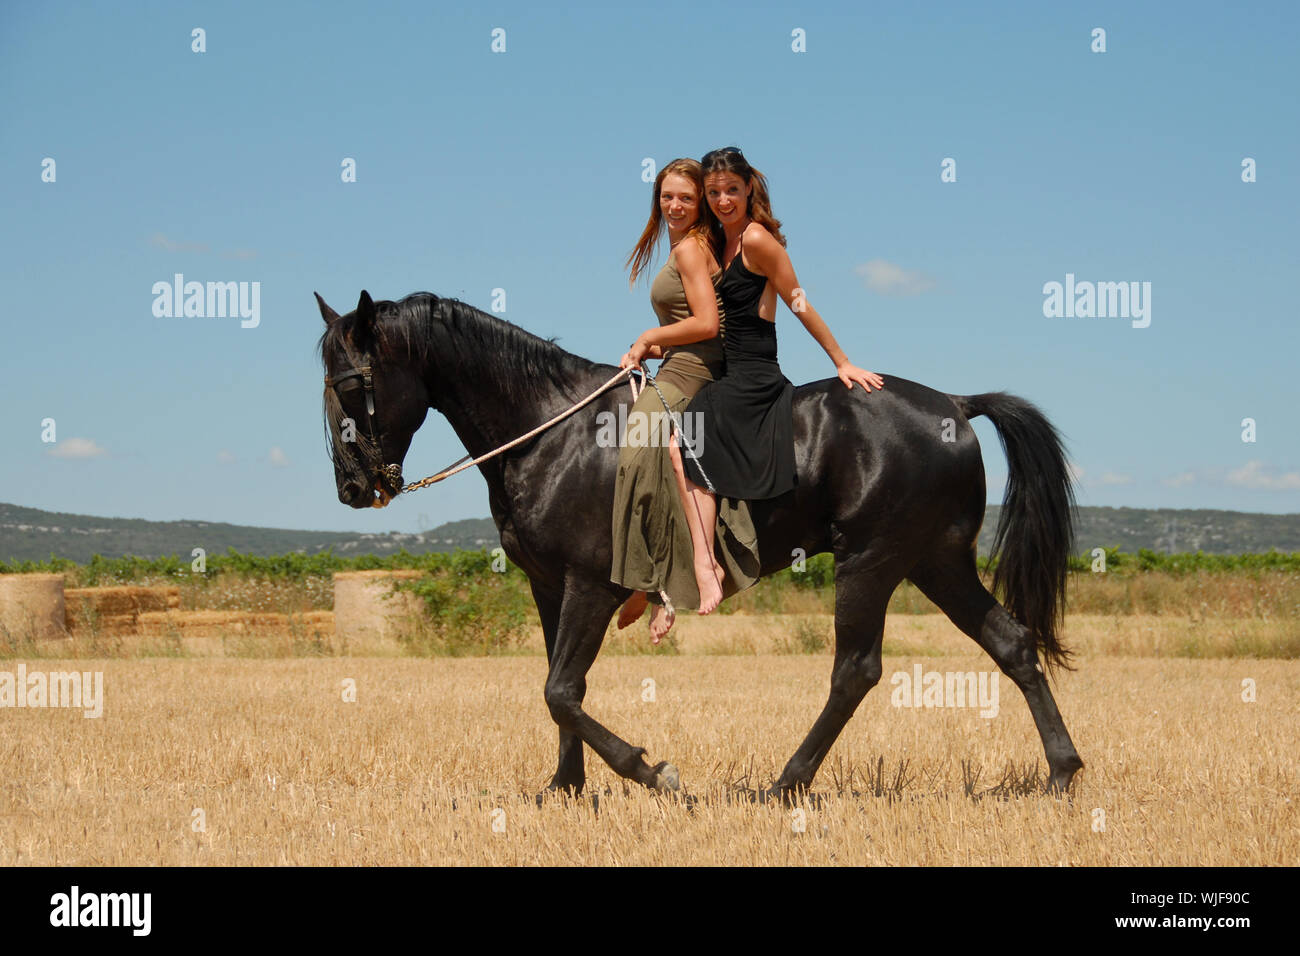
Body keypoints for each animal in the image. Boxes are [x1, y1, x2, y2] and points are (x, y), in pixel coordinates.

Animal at [316, 289, 1084, 799]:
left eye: (350, 384)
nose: (352, 488)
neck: (552, 431)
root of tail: (955, 405)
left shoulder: (591, 584)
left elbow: (562, 689)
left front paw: (650, 771)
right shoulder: (547, 584)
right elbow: (557, 688)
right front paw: (564, 788)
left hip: (872, 562)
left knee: (855, 671)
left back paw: (785, 783)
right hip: (935, 562)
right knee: (1012, 644)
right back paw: (1061, 772)